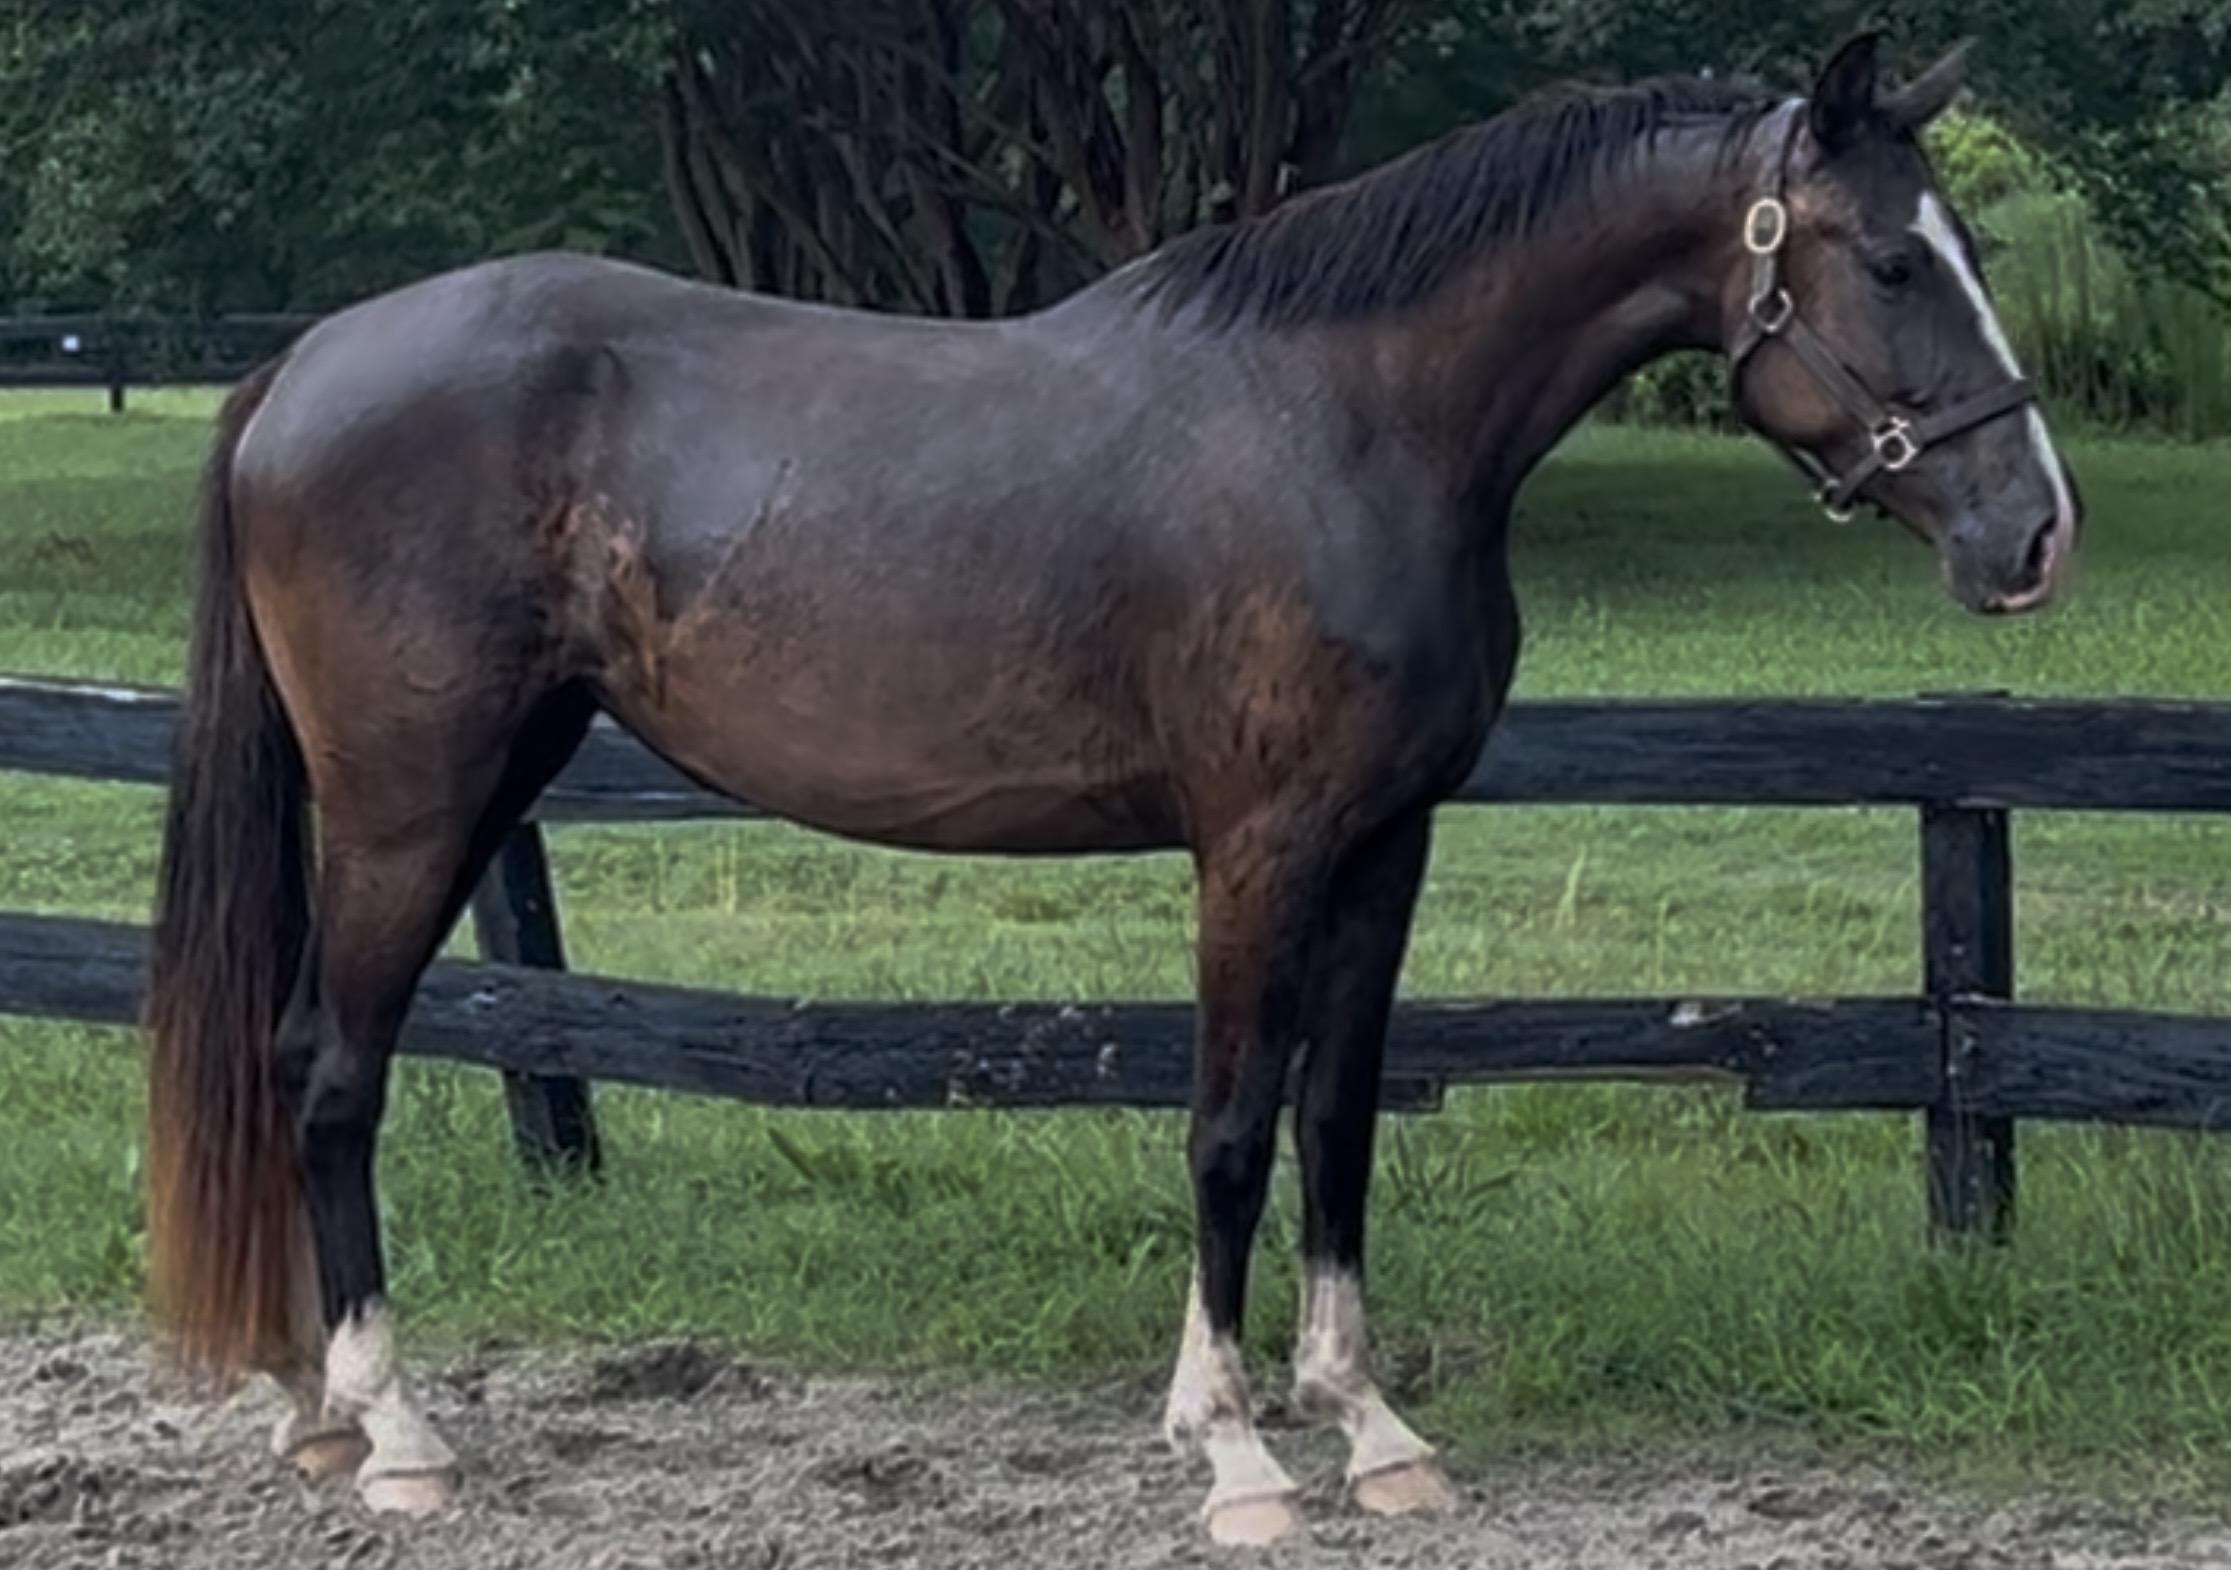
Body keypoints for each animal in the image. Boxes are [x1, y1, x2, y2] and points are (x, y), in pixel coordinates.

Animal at [142, 33, 2078, 1545]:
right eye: (1889, 264)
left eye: (1956, 246)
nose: (2031, 535)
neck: (1350, 422)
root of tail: (299, 365)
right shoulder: (1258, 845)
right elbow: (1225, 1126)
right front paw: (1233, 1451)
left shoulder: (1383, 847)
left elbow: (1335, 1119)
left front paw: (1370, 1429)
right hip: (409, 805)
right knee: (329, 1070)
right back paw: (392, 1431)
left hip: (482, 786)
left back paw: (314, 1412)